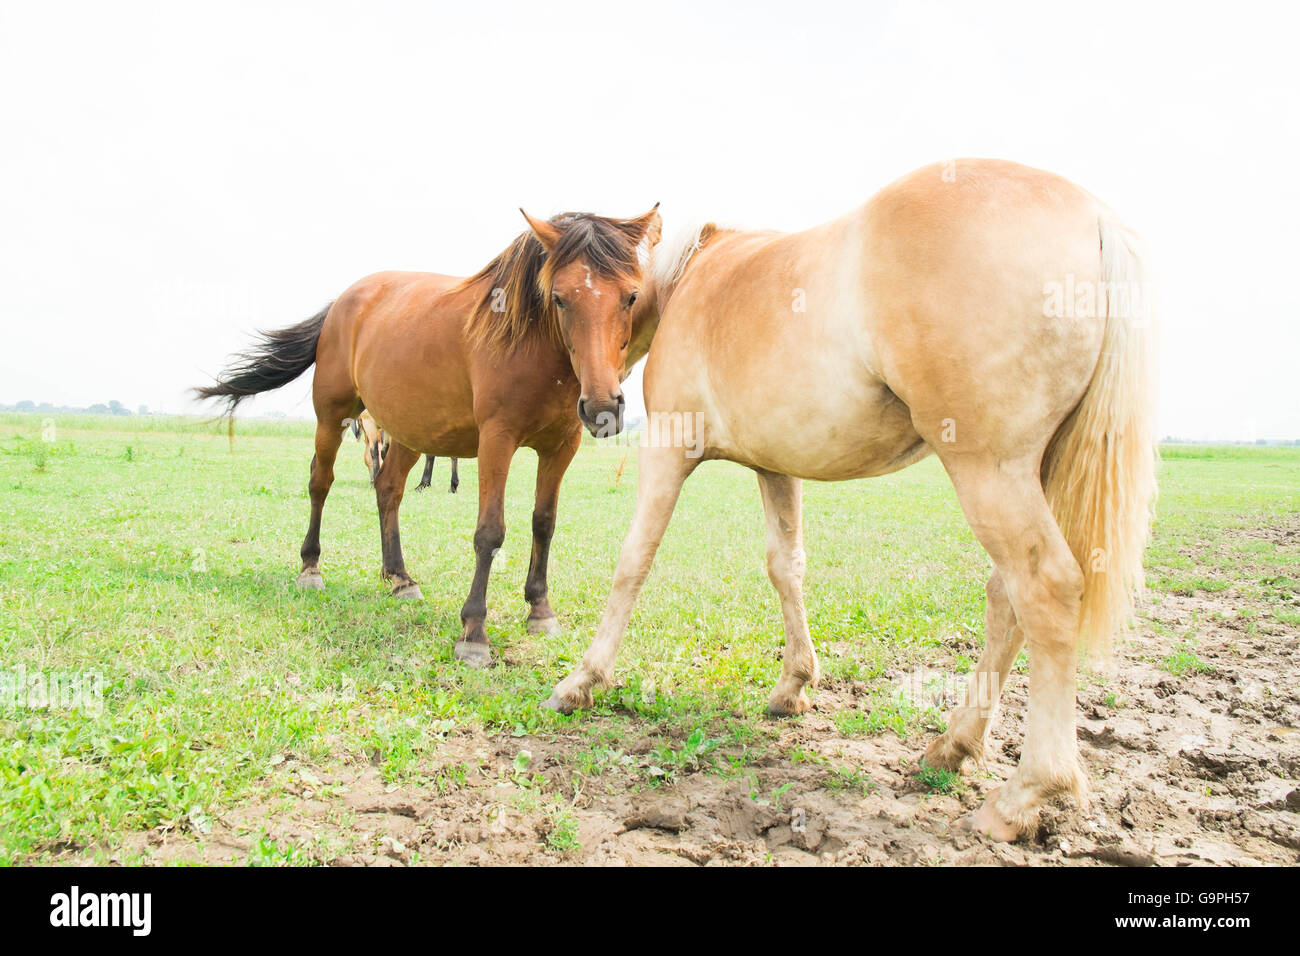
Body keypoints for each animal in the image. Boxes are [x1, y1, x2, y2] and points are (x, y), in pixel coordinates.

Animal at [197, 205, 663, 665]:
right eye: (559, 298)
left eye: (631, 297)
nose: (602, 407)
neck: (529, 342)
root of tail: (343, 303)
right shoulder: (497, 440)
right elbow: (490, 531)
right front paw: (474, 632)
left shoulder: (561, 446)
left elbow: (543, 523)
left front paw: (540, 610)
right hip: (332, 417)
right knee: (320, 482)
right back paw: (311, 568)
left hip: (406, 431)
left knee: (388, 490)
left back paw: (400, 578)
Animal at [546, 159, 1158, 841]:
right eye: (559, 296)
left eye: (628, 295)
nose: (601, 408)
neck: (697, 275)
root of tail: (1094, 215)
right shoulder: (775, 465)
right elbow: (785, 566)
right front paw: (793, 686)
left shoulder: (668, 449)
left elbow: (634, 561)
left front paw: (583, 680)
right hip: (1030, 473)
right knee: (1008, 599)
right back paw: (954, 746)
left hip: (989, 471)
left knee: (1044, 589)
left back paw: (1025, 794)